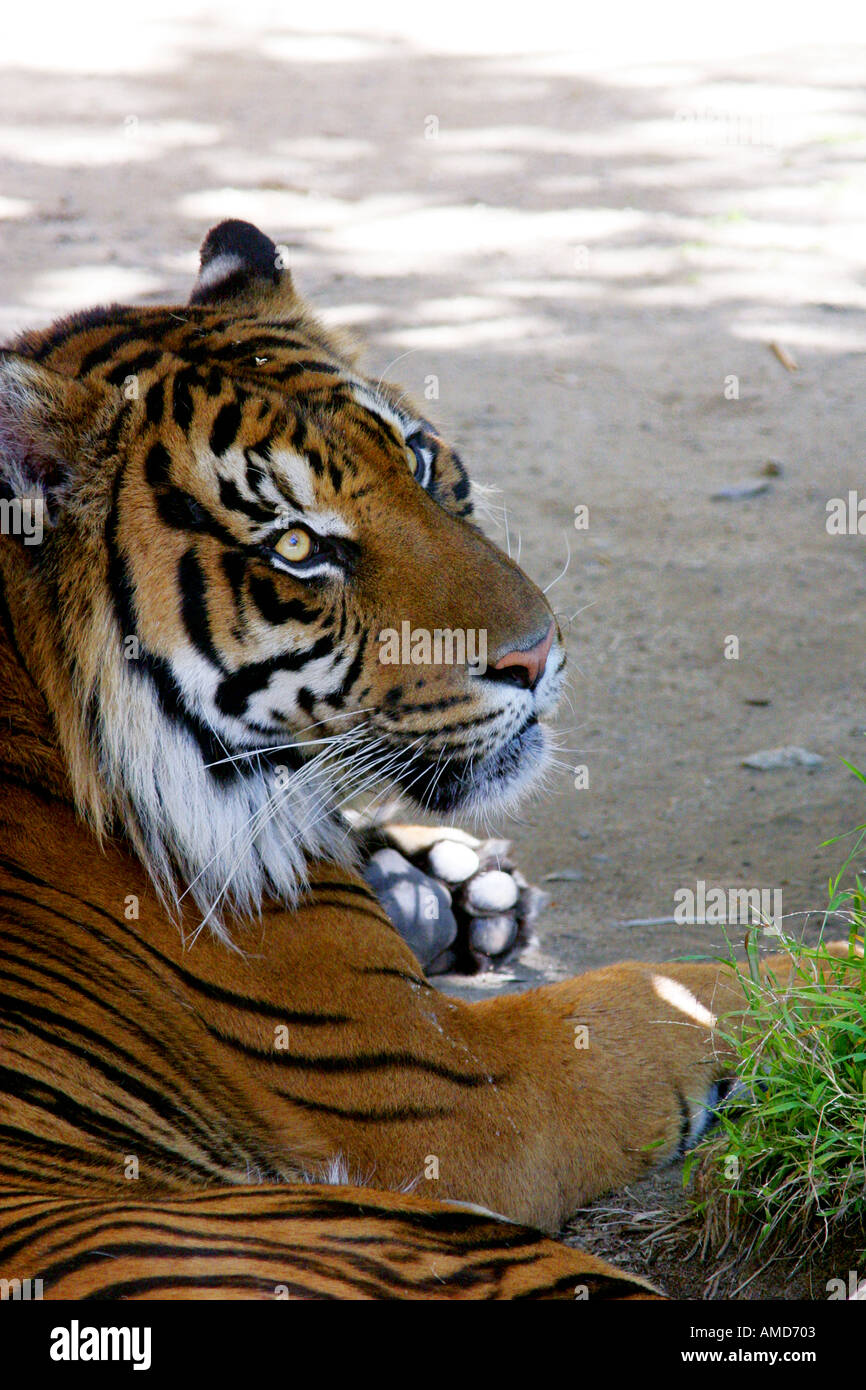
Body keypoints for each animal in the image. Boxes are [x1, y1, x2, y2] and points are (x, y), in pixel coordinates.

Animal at [0, 218, 846, 1300]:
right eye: (297, 547)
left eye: (416, 456)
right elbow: (664, 988)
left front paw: (454, 887)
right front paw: (842, 972)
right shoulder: (454, 1090)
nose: (537, 652)